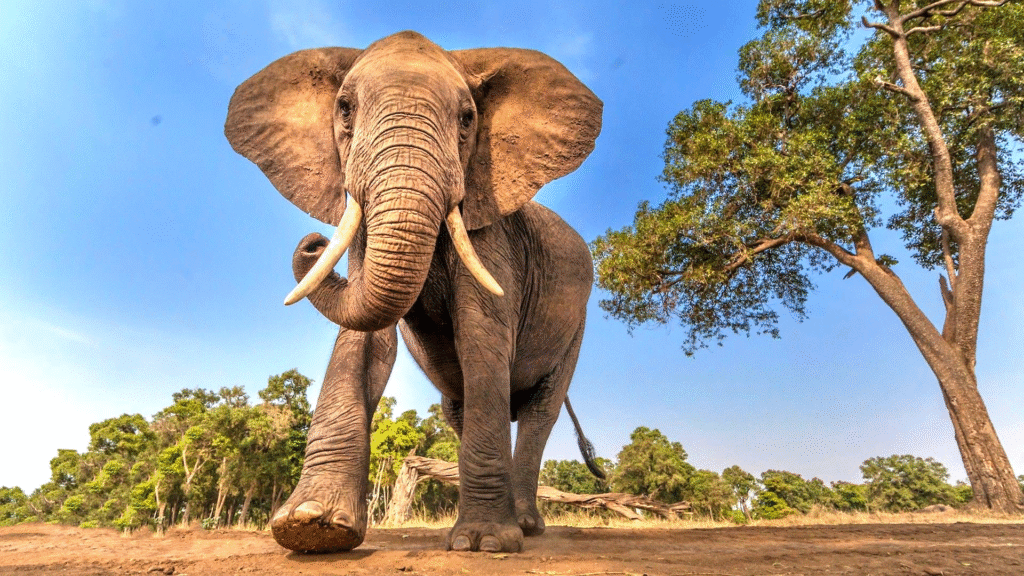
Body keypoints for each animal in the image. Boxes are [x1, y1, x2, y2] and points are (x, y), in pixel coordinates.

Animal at [224, 31, 603, 554]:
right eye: (345, 109)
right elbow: (364, 340)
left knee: (540, 410)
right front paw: (311, 527)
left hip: (578, 324)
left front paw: (485, 543)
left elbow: (482, 337)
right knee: (459, 408)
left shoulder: (491, 232)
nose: (312, 243)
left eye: (467, 119)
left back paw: (524, 526)